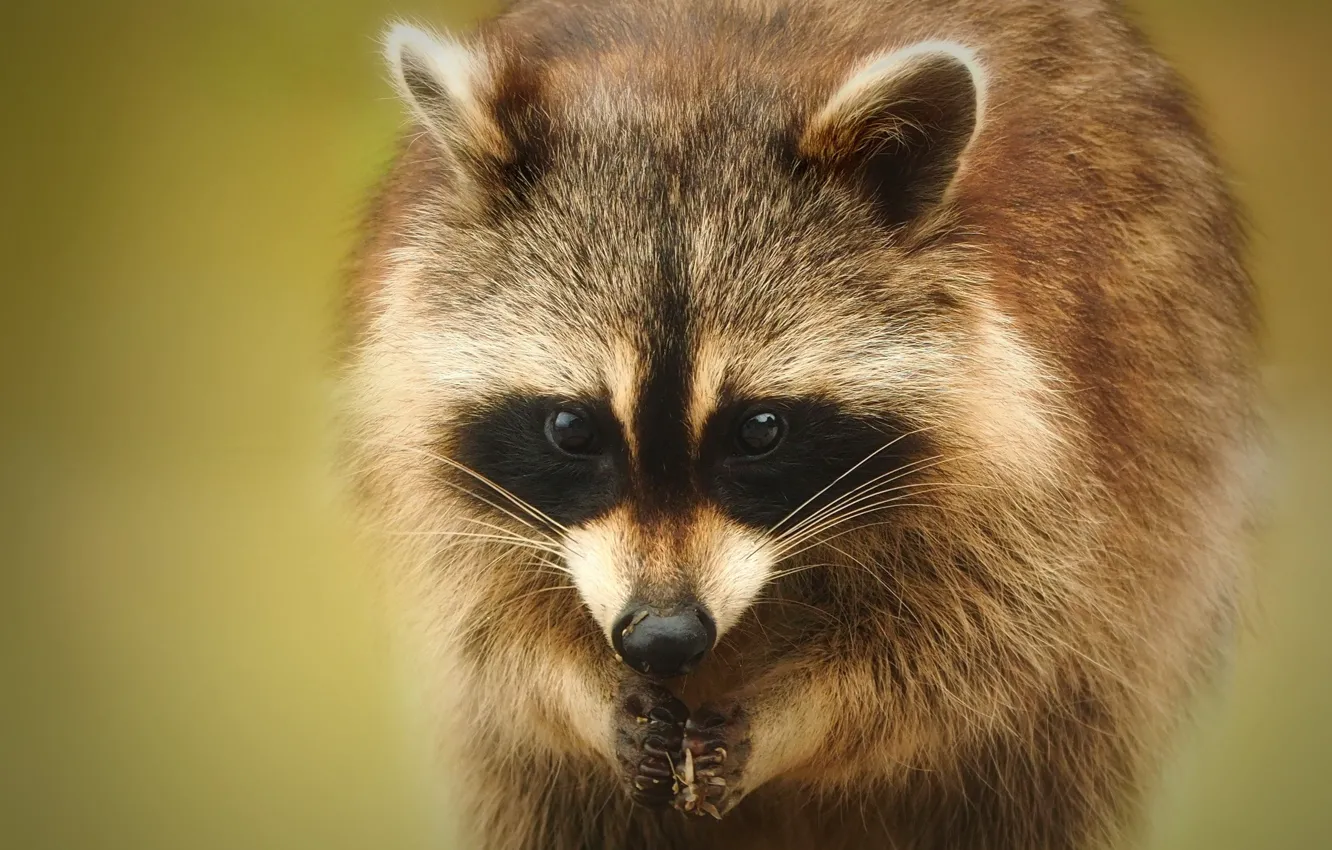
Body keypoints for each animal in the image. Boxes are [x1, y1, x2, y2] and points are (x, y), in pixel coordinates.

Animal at [342, 1, 1260, 848]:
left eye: (759, 431)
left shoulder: (1048, 457)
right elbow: (487, 638)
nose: (665, 638)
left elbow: (978, 651)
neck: (689, 88)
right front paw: (583, 693)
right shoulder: (425, 453)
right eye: (572, 428)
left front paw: (797, 716)